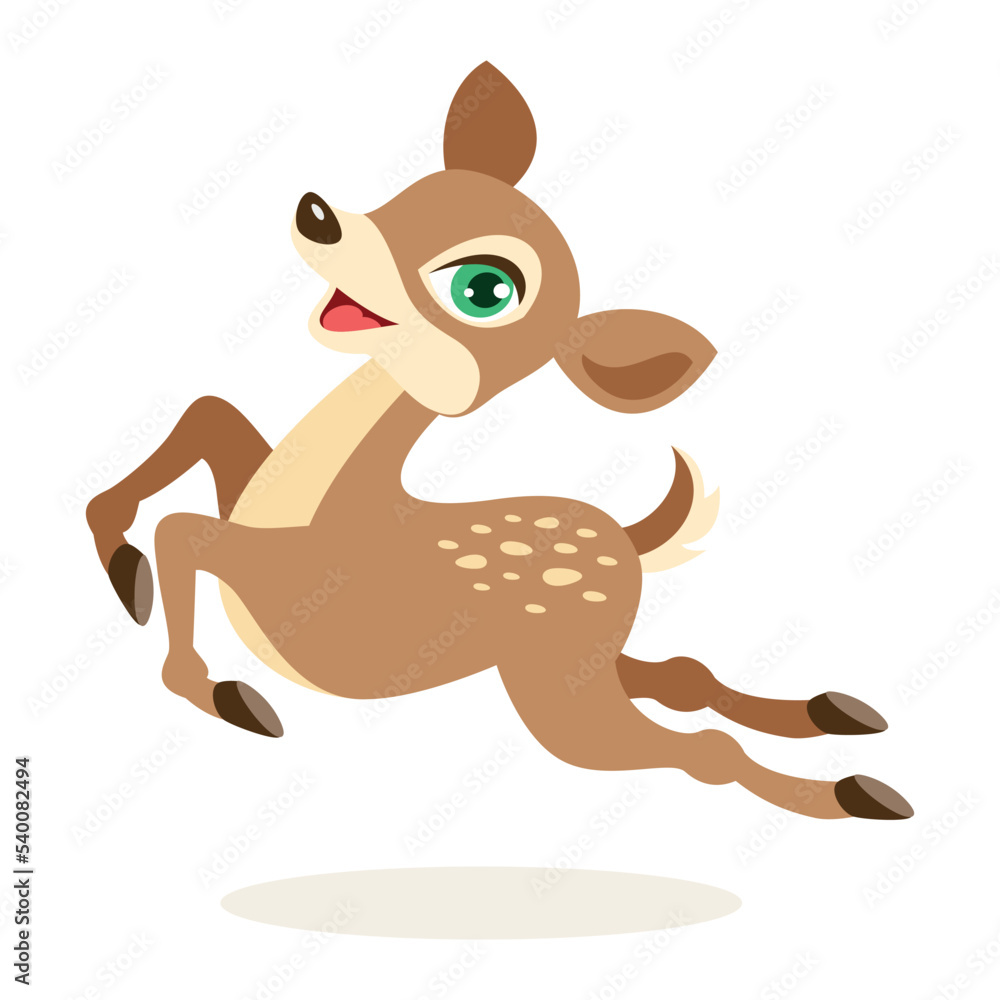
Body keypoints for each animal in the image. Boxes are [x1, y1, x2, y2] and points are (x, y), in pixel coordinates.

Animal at [86, 63, 912, 822]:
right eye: (410, 195)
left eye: (484, 289)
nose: (320, 215)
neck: (322, 502)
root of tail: (627, 538)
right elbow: (207, 414)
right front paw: (120, 561)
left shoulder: (301, 592)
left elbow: (184, 531)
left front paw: (219, 688)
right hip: (581, 658)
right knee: (677, 673)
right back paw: (832, 713)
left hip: (557, 687)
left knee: (692, 749)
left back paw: (857, 794)